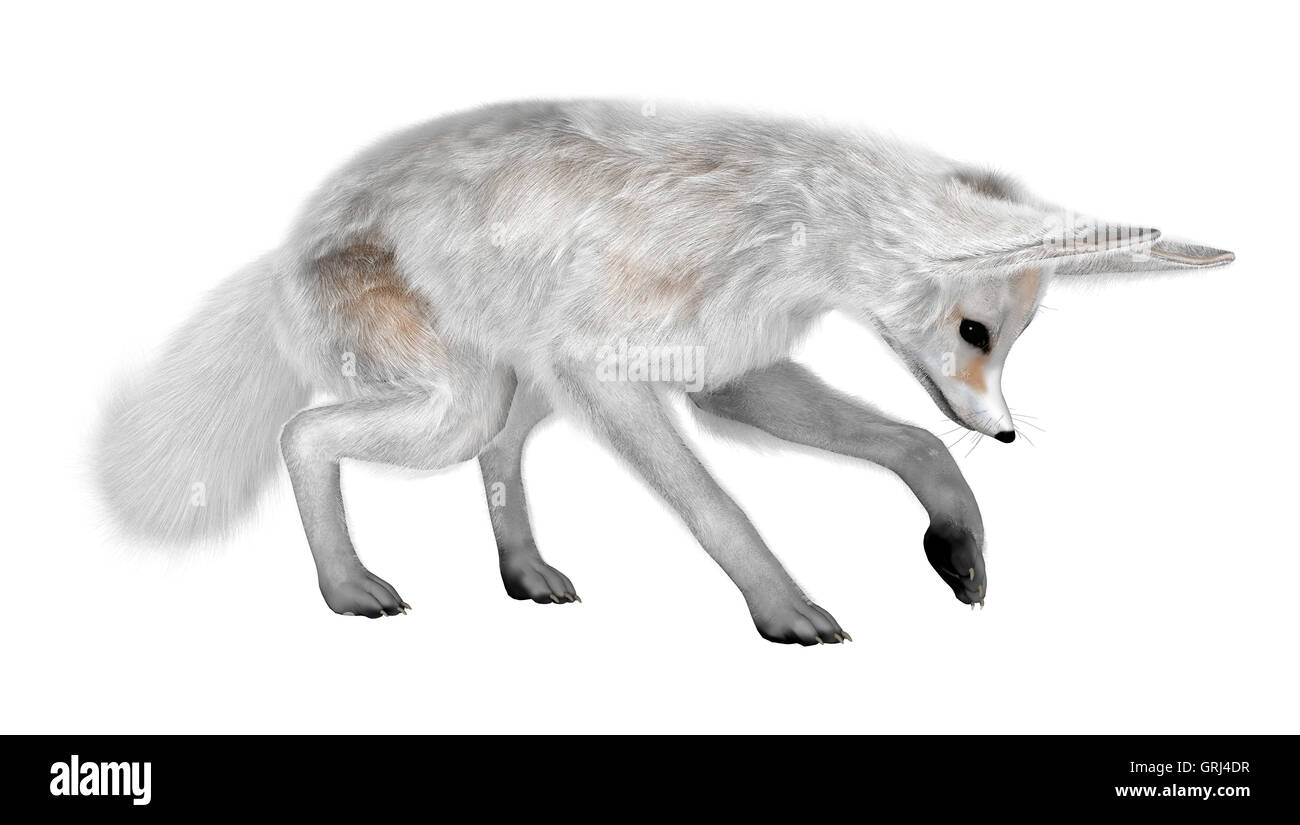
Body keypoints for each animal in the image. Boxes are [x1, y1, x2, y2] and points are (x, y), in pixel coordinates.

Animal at [94, 100, 1234, 645]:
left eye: (1008, 339)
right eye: (973, 331)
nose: (1001, 433)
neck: (782, 236)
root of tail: (284, 249)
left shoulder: (728, 373)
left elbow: (914, 443)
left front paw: (957, 544)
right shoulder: (615, 377)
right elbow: (721, 512)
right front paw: (785, 613)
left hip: (520, 393)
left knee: (497, 460)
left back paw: (524, 572)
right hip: (464, 401)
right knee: (305, 434)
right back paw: (346, 588)